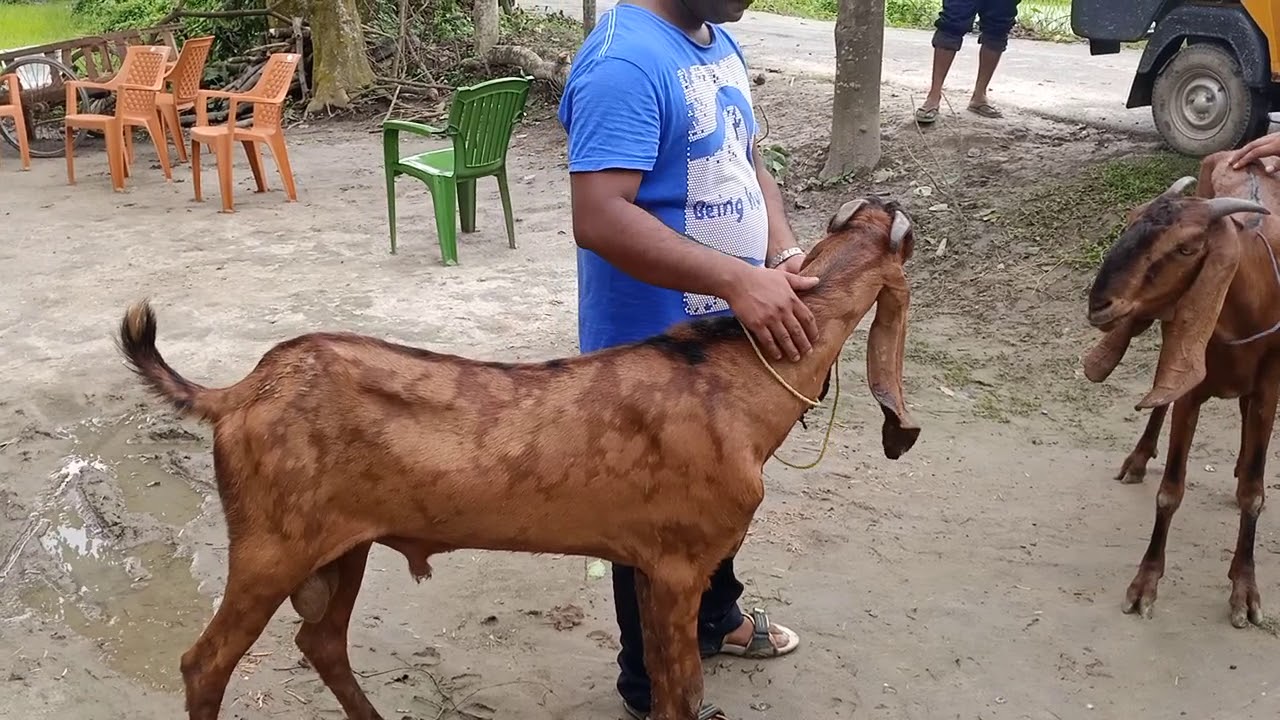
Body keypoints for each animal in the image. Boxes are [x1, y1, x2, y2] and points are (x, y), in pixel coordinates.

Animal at [115, 195, 921, 720]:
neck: (736, 379)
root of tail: (243, 388)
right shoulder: (680, 562)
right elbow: (681, 693)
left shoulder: (648, 562)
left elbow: (669, 687)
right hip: (270, 545)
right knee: (206, 663)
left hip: (341, 545)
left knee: (321, 639)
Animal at [1083, 153, 1280, 627]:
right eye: (1131, 222)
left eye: (1187, 248)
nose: (1100, 305)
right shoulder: (1192, 386)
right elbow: (1170, 490)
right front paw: (1144, 584)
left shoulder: (1270, 389)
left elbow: (1254, 494)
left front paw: (1244, 591)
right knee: (1161, 394)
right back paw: (1138, 459)